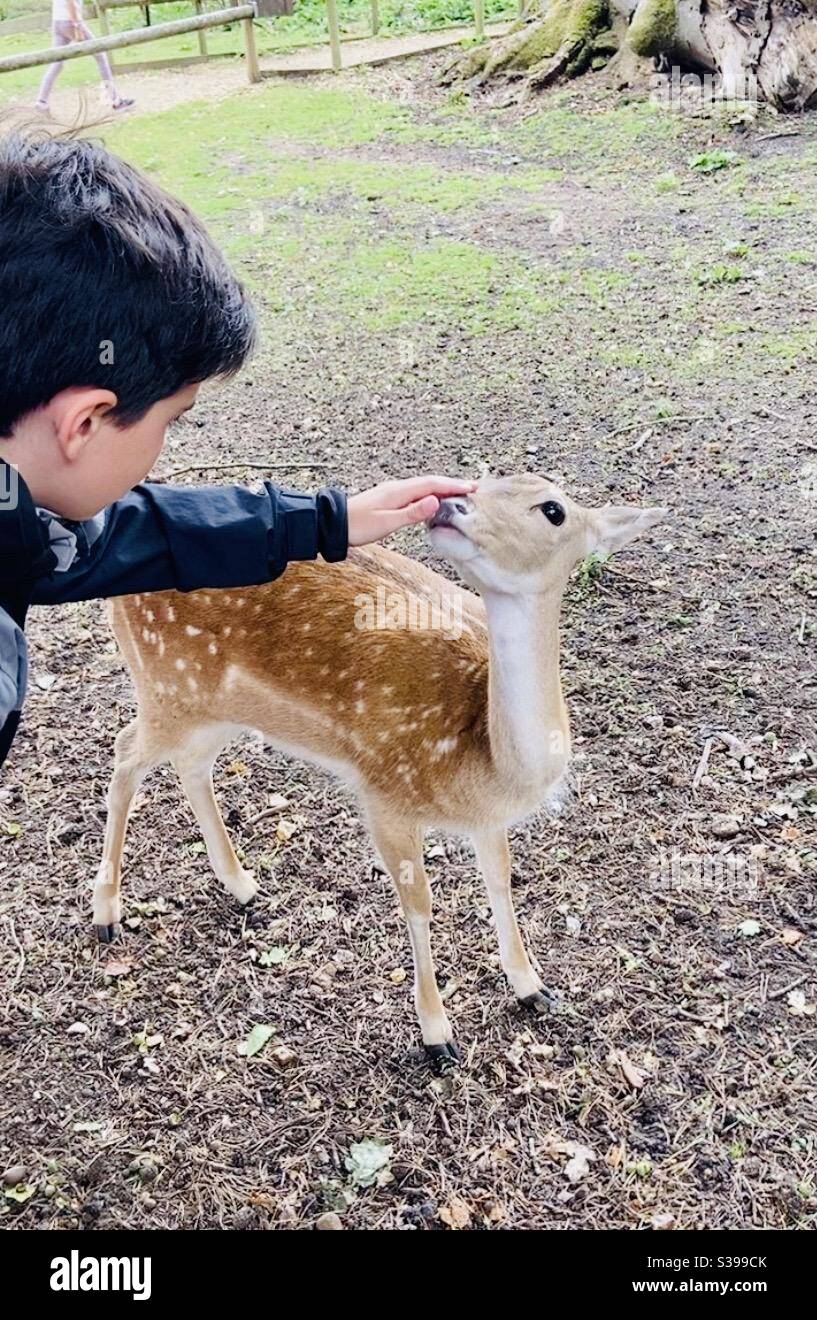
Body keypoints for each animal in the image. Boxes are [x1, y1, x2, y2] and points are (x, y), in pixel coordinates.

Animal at [95, 474, 667, 1068]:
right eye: (482, 484)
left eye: (553, 510)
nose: (449, 504)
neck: (486, 763)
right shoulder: (384, 792)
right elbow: (419, 904)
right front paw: (437, 1034)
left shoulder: (486, 821)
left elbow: (501, 880)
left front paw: (532, 987)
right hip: (166, 685)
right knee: (124, 751)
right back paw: (106, 913)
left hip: (215, 707)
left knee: (189, 765)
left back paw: (243, 886)